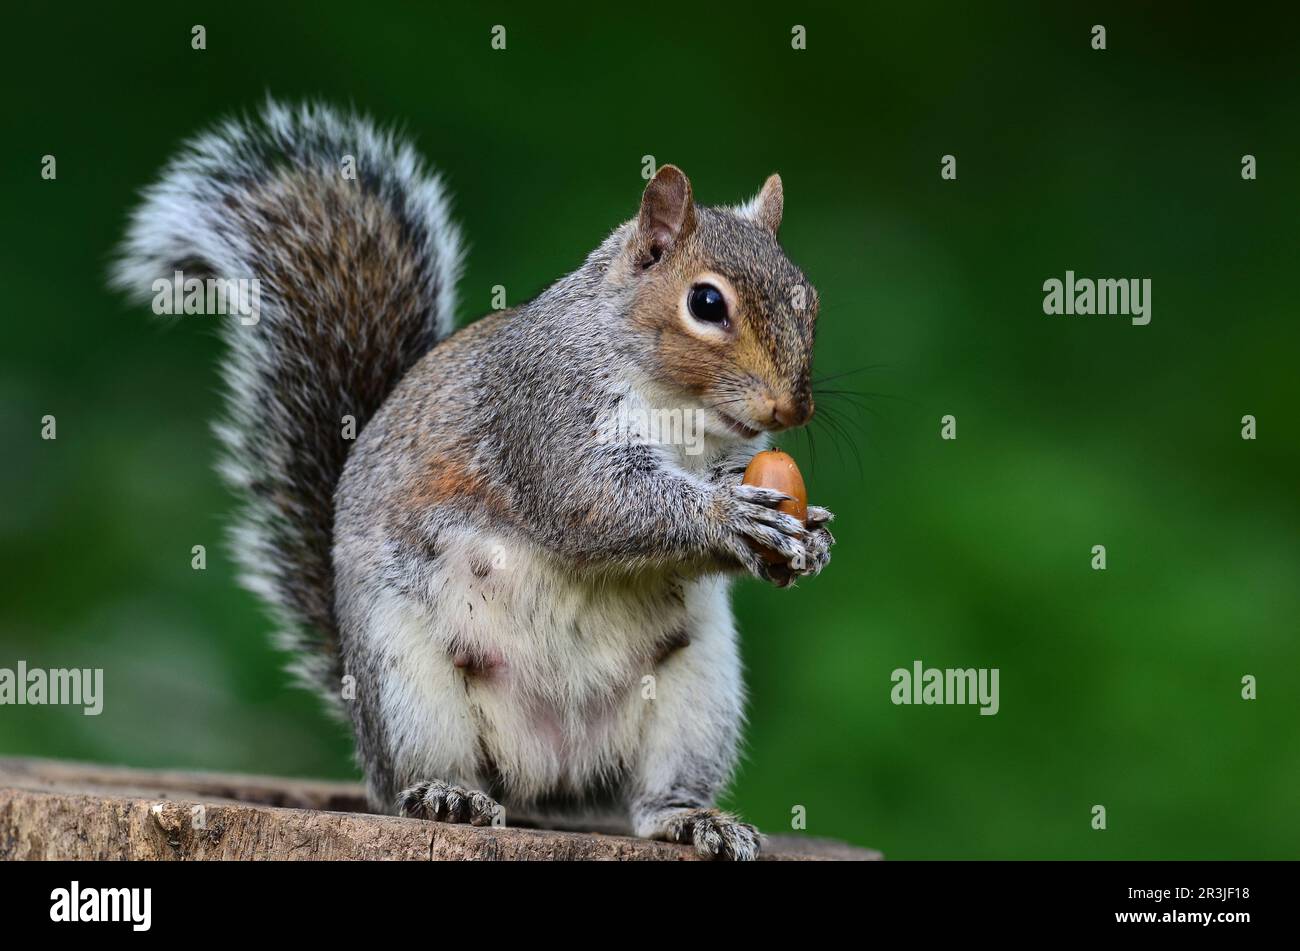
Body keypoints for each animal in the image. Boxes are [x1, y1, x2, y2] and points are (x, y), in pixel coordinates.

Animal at [113, 101, 834, 860]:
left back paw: (694, 818)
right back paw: (447, 796)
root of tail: (553, 781)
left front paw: (809, 538)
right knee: (418, 777)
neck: (682, 408)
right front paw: (732, 517)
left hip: (698, 692)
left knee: (654, 796)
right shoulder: (543, 418)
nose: (793, 409)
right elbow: (597, 506)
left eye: (810, 300)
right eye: (706, 303)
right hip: (406, 683)